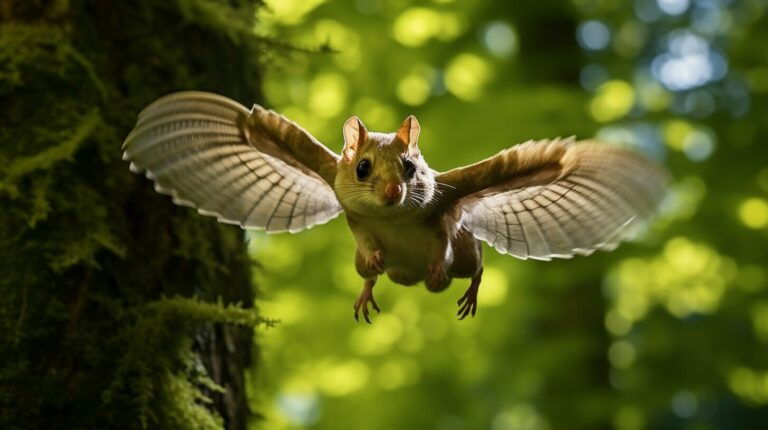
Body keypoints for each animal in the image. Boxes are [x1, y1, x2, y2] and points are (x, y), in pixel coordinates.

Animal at [123, 92, 668, 323]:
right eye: (361, 168)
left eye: (410, 167)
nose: (392, 194)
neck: (392, 217)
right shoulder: (359, 226)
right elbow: (368, 244)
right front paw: (378, 261)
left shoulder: (445, 221)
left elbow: (443, 239)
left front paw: (435, 268)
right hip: (361, 261)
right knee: (371, 273)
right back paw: (372, 289)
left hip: (467, 250)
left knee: (475, 266)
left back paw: (456, 288)